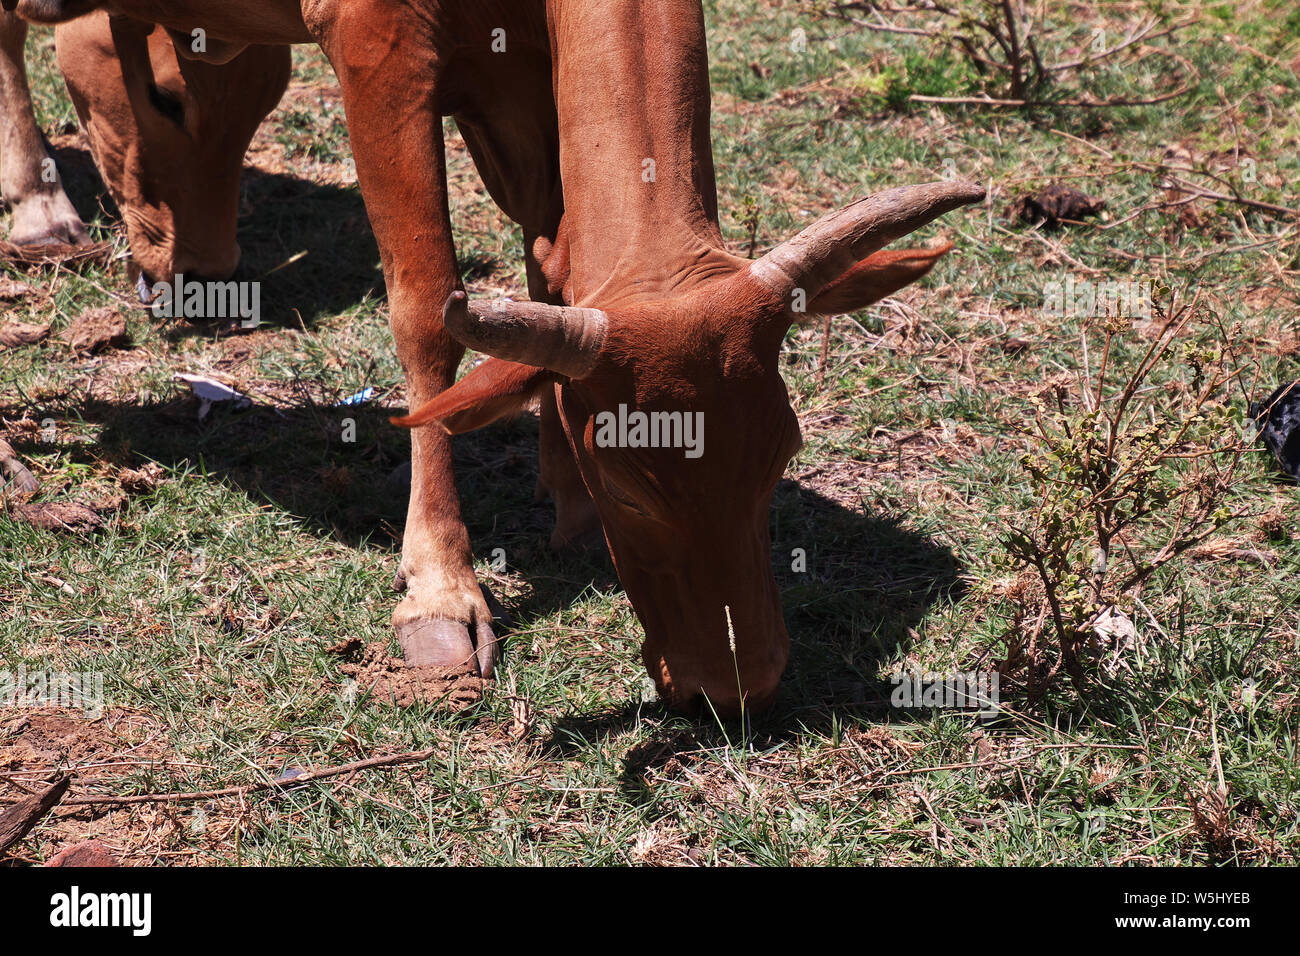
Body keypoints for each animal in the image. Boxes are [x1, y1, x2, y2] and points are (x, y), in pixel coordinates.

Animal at [1, 0, 983, 714]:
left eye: (782, 456)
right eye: (633, 486)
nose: (738, 684)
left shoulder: (521, 73)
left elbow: (552, 256)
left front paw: (562, 488)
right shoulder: (380, 51)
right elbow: (428, 315)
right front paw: (441, 587)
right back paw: (39, 230)